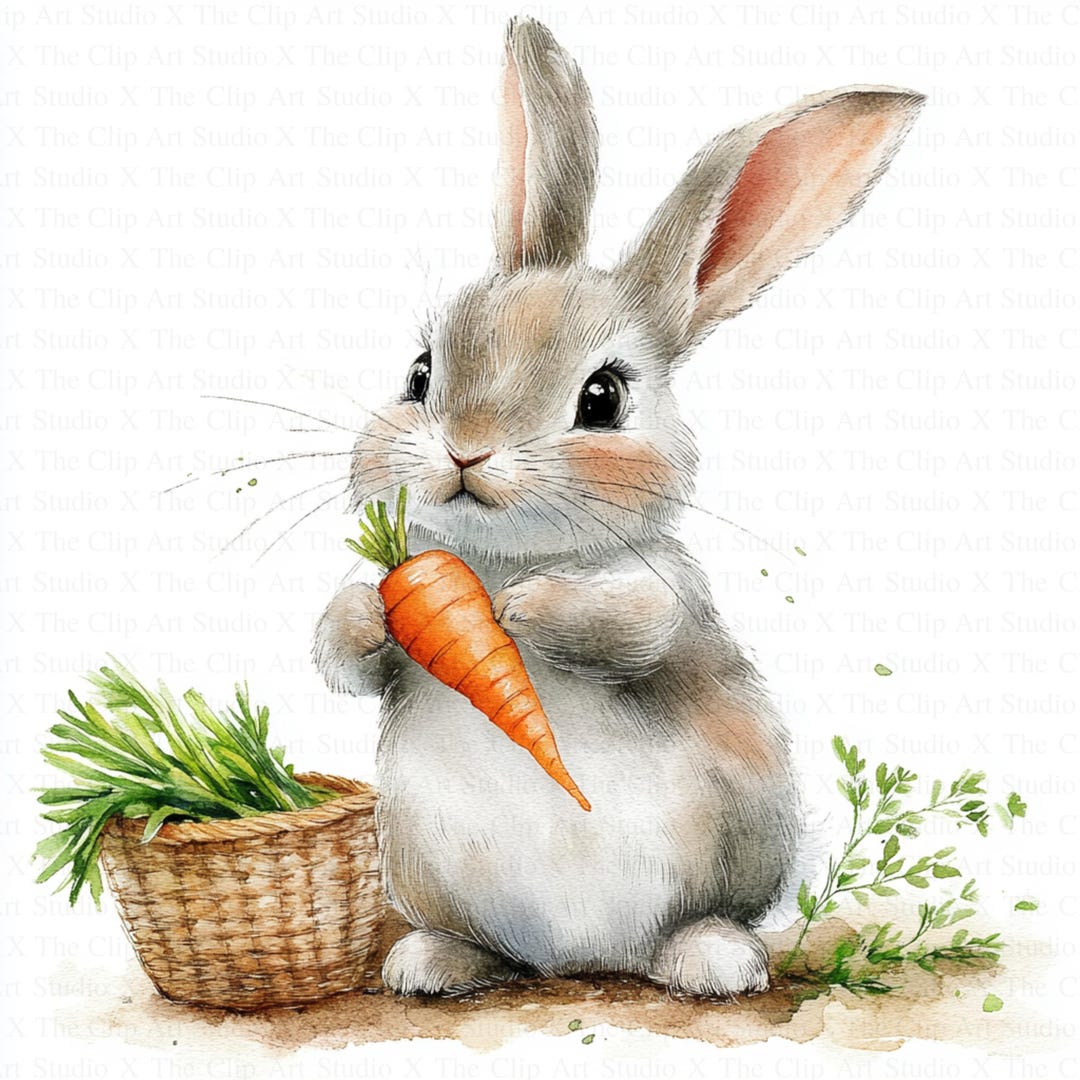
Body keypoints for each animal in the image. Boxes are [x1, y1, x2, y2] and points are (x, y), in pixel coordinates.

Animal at [313, 16, 923, 997]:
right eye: (420, 374)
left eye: (602, 399)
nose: (466, 448)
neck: (505, 554)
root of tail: (580, 960)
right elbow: (343, 651)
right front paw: (374, 607)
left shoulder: (667, 591)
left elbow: (628, 621)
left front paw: (520, 612)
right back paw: (431, 964)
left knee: (691, 932)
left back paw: (714, 962)